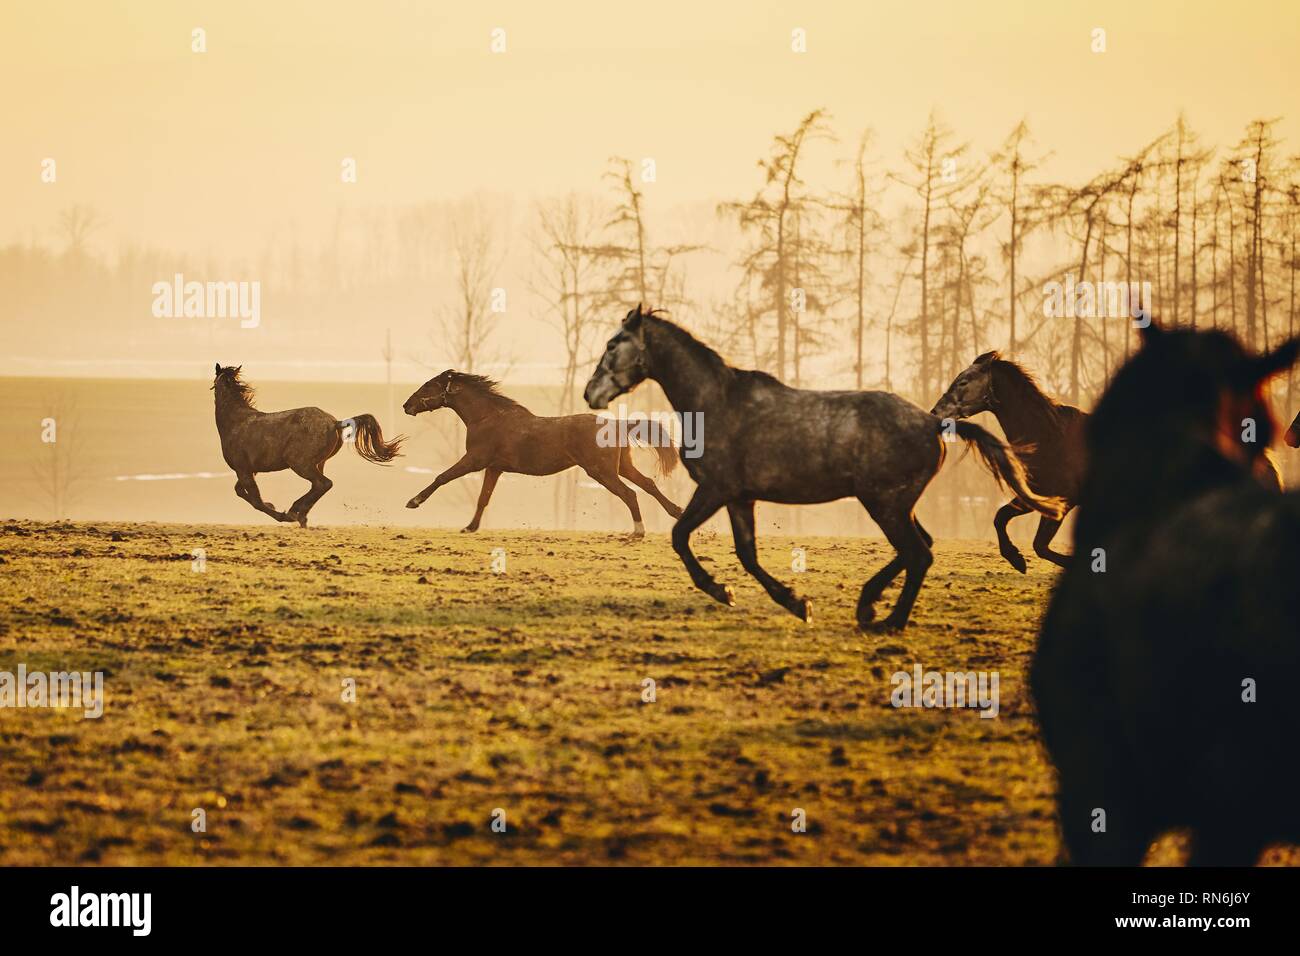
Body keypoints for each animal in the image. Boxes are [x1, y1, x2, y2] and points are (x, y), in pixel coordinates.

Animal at [212, 364, 404, 526]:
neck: (236, 421)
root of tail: (335, 423)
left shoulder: (243, 469)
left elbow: (255, 500)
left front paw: (280, 514)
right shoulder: (250, 469)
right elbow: (240, 491)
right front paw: (274, 506)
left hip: (300, 464)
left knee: (323, 484)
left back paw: (294, 512)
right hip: (317, 463)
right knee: (318, 486)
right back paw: (301, 515)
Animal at [402, 370, 682, 536]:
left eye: (429, 385)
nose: (406, 405)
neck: (487, 418)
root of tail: (616, 424)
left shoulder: (475, 460)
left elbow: (442, 477)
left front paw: (413, 501)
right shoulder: (494, 468)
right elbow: (483, 498)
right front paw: (471, 527)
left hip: (601, 472)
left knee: (630, 493)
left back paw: (638, 531)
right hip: (622, 467)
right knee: (648, 484)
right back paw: (675, 512)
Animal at [582, 305, 1065, 632]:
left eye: (612, 345)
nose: (590, 393)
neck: (717, 401)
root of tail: (934, 423)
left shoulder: (716, 490)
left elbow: (681, 536)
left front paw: (731, 592)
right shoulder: (739, 497)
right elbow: (746, 554)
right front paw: (793, 602)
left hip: (884, 504)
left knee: (919, 554)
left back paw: (887, 619)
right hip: (897, 504)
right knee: (920, 548)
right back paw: (871, 605)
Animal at [932, 352, 1087, 571]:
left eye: (963, 381)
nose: (935, 412)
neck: (1050, 437)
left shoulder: (1063, 501)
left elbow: (1040, 545)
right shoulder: (1035, 496)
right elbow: (1001, 518)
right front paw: (1015, 558)